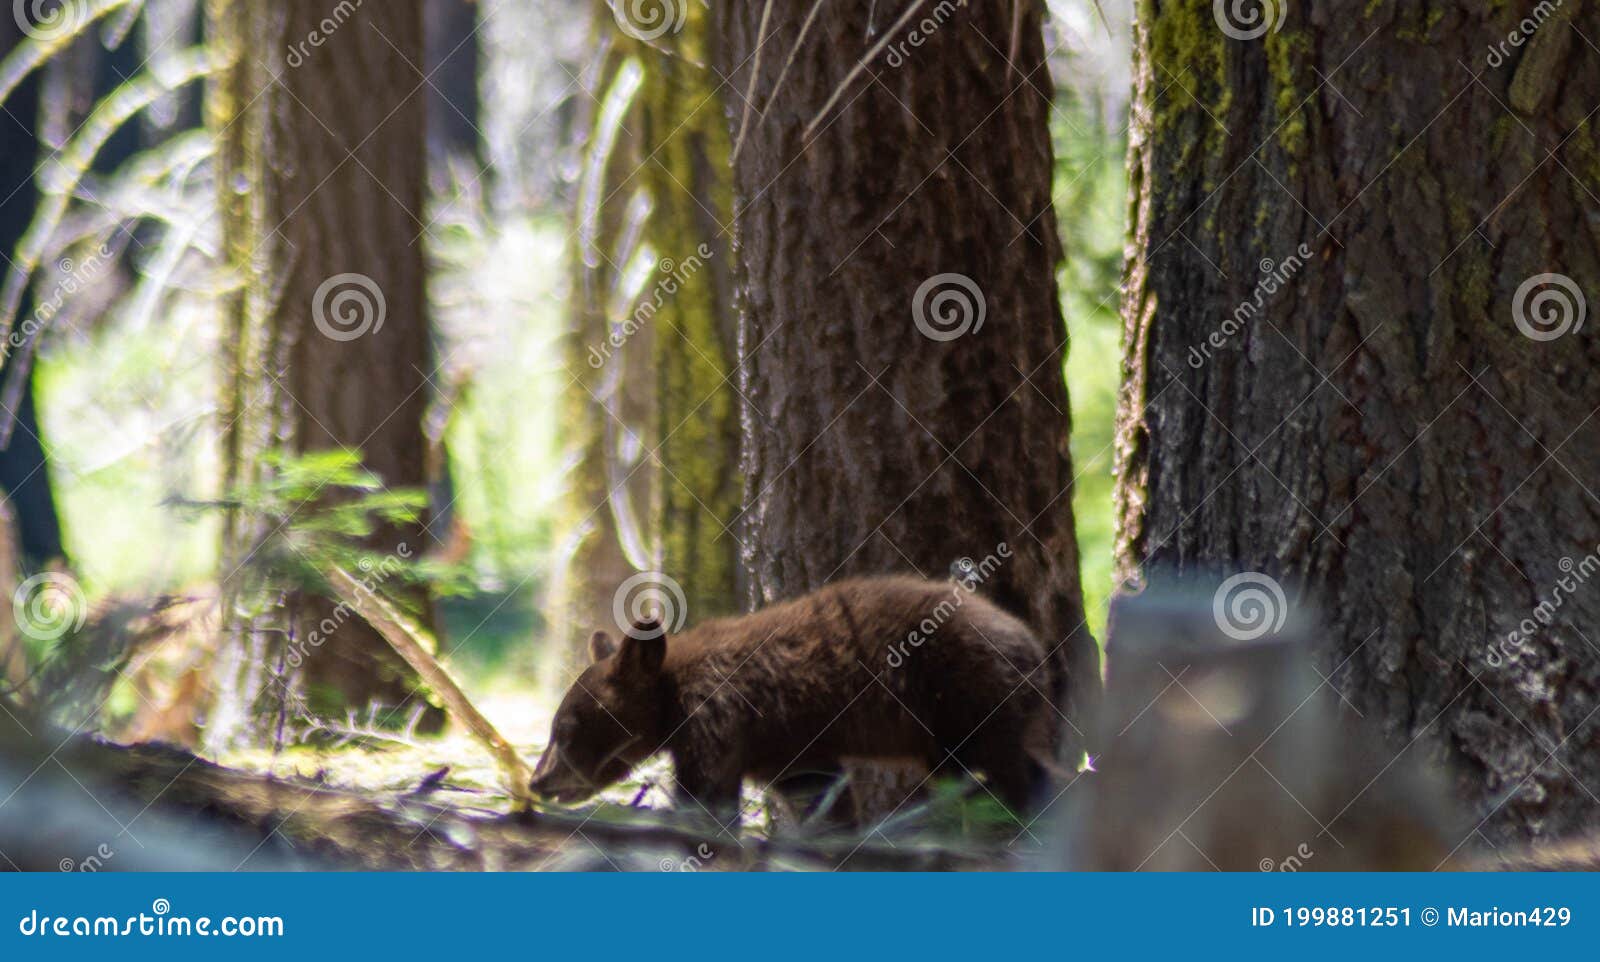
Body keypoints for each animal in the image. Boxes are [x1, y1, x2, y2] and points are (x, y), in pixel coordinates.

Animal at [529, 575, 1059, 820]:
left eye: (564, 729)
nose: (538, 781)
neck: (673, 695)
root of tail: (1034, 645)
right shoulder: (786, 747)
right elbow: (819, 788)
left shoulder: (718, 716)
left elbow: (706, 792)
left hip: (968, 698)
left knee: (1006, 766)